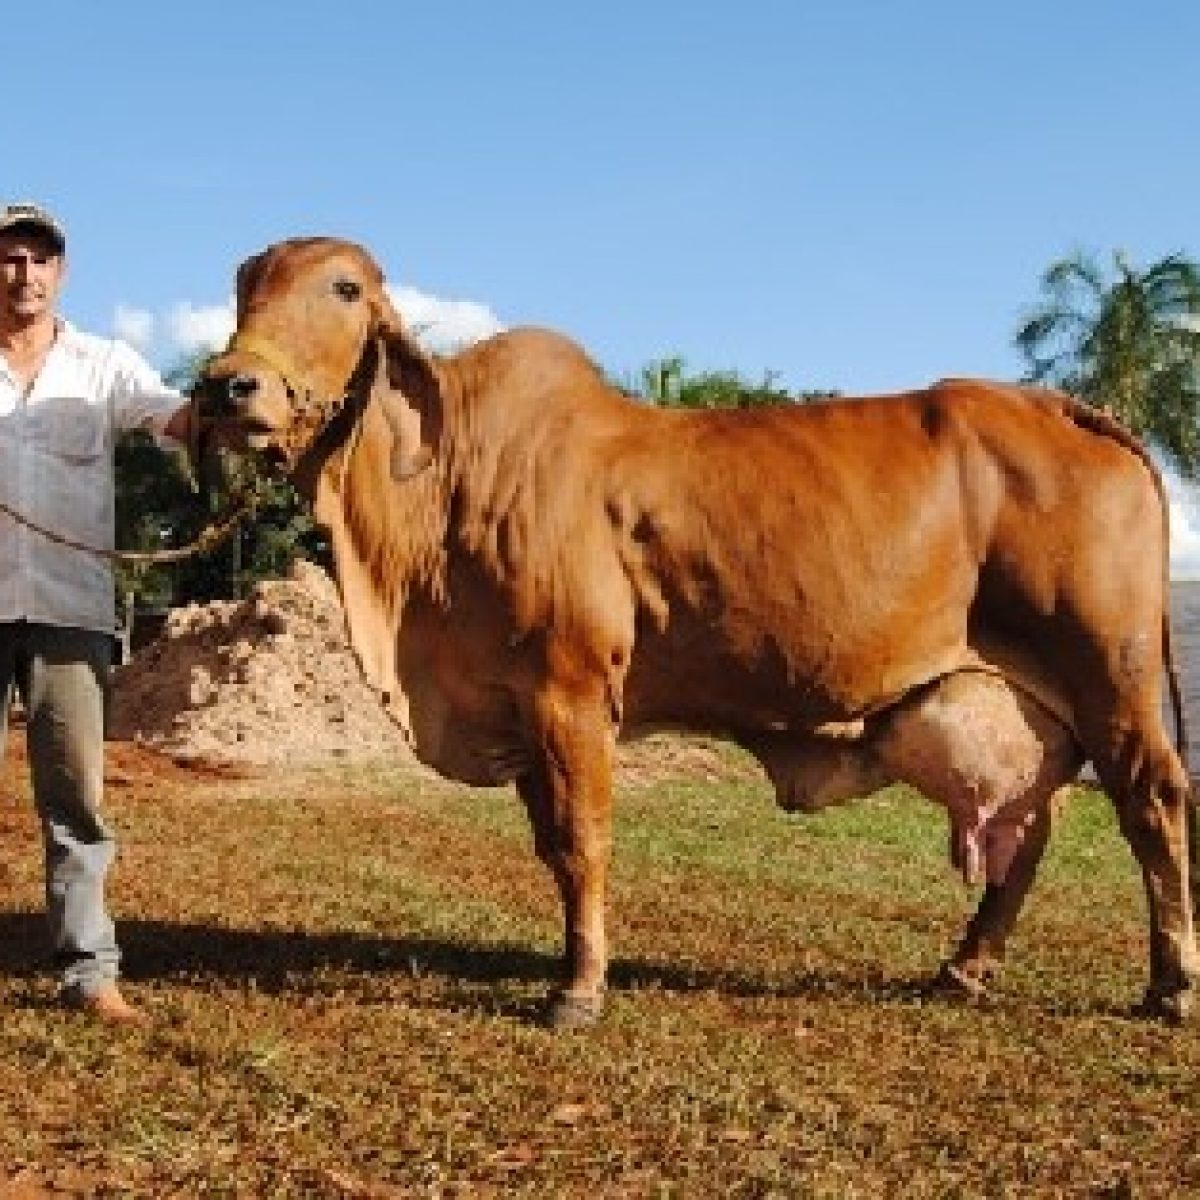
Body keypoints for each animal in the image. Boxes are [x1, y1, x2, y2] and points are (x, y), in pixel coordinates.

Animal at [192, 236, 1197, 1027]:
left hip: (1111, 675)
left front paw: (578, 992)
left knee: (1151, 801)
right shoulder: (517, 704)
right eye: (243, 282)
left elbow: (582, 839)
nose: (229, 386)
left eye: (344, 288)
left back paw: (1170, 986)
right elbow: (551, 844)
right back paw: (964, 969)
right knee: (1031, 826)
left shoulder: (570, 692)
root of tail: (1068, 408)